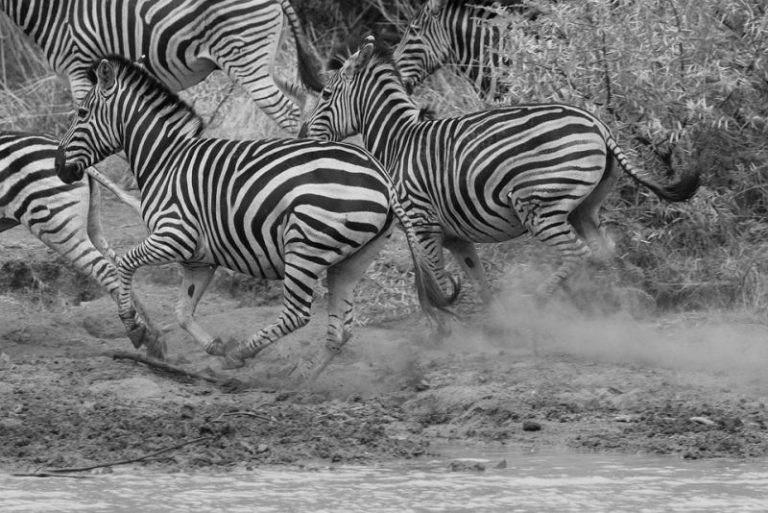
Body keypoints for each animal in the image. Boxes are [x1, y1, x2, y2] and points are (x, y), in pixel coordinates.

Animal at [0, 0, 322, 133]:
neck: (54, 9)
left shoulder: (79, 68)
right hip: (264, 62)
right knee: (304, 99)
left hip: (247, 61)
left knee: (288, 112)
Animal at [0, 131, 163, 357]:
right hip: (90, 224)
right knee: (119, 264)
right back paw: (154, 336)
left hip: (57, 225)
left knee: (106, 270)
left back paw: (141, 333)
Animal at [54, 56, 456, 374]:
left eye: (82, 113)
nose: (59, 168)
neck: (165, 160)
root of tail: (382, 178)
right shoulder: (199, 258)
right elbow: (182, 311)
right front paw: (211, 345)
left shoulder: (175, 235)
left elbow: (124, 264)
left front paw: (134, 329)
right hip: (353, 260)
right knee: (340, 330)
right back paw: (301, 379)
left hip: (304, 245)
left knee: (297, 314)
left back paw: (244, 354)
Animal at [300, 36, 700, 320]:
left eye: (325, 93)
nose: (304, 135)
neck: (398, 140)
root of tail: (598, 125)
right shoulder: (455, 236)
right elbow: (476, 278)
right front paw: (492, 323)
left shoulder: (421, 222)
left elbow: (435, 281)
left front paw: (447, 325)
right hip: (583, 208)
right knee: (603, 250)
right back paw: (618, 305)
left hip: (539, 206)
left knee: (577, 252)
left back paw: (539, 301)